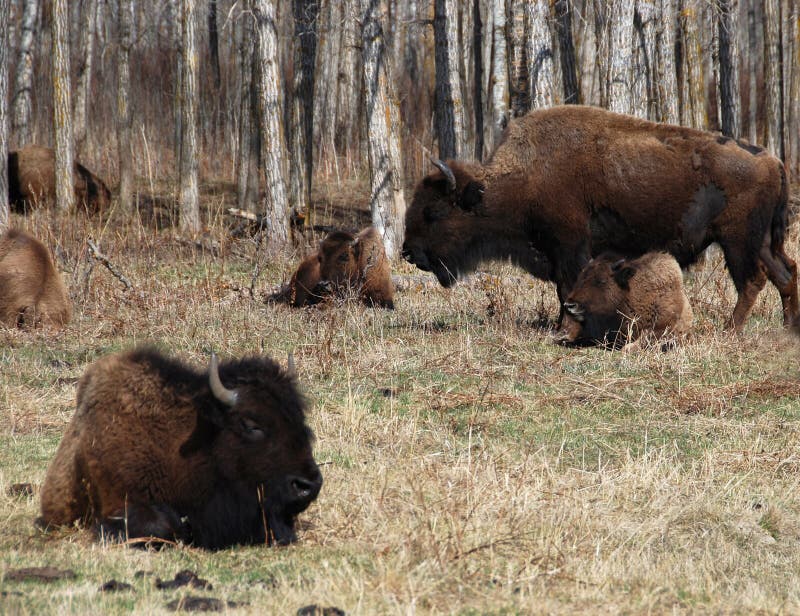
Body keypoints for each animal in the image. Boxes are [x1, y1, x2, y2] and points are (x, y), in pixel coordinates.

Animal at [402, 105, 798, 331]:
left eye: (433, 212)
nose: (407, 252)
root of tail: (773, 160)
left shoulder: (569, 247)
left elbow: (567, 287)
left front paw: (564, 326)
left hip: (737, 240)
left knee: (752, 281)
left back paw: (730, 330)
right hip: (762, 241)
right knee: (785, 273)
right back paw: (788, 327)